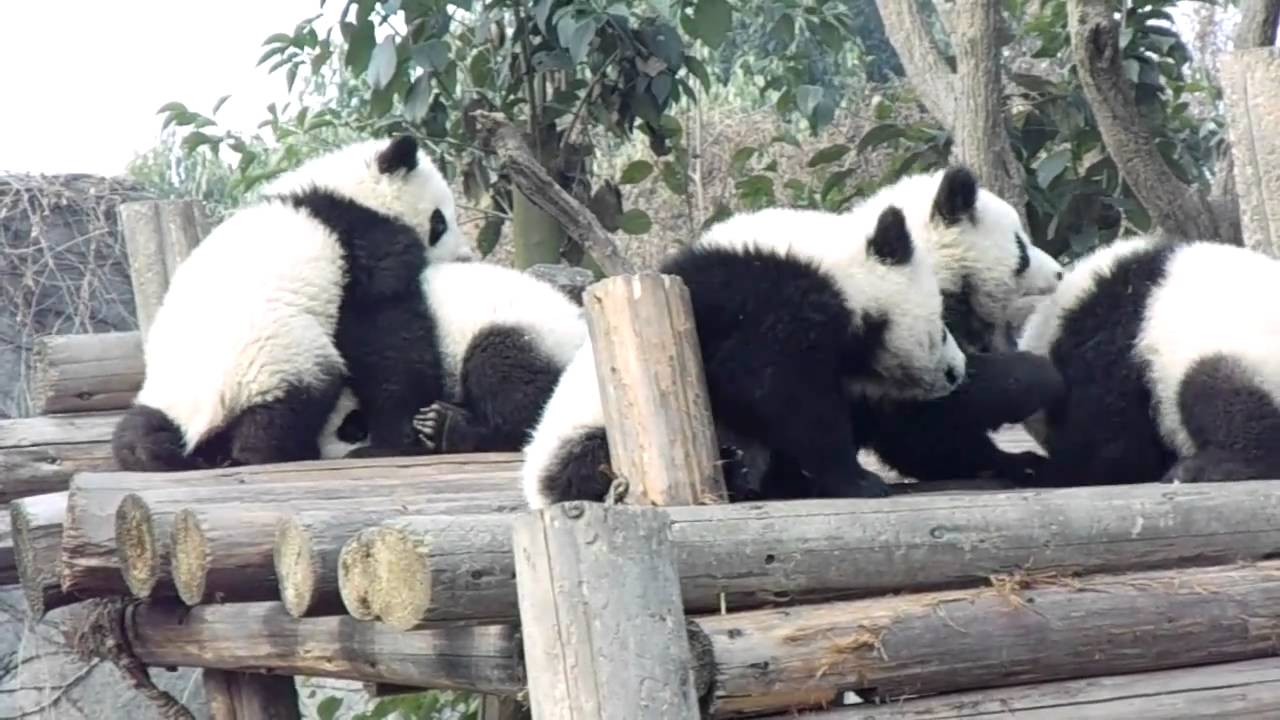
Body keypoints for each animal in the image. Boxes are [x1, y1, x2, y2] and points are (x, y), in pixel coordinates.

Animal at [112, 135, 474, 472]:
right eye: (439, 222)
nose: (465, 256)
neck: (343, 188)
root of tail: (200, 419)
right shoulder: (361, 241)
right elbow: (383, 332)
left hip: (164, 393)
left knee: (140, 433)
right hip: (276, 358)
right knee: (286, 410)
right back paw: (275, 450)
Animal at [522, 202, 967, 508]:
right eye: (942, 326)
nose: (956, 372)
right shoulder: (760, 303)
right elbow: (779, 393)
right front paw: (858, 481)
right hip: (587, 437)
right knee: (590, 463)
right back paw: (735, 467)